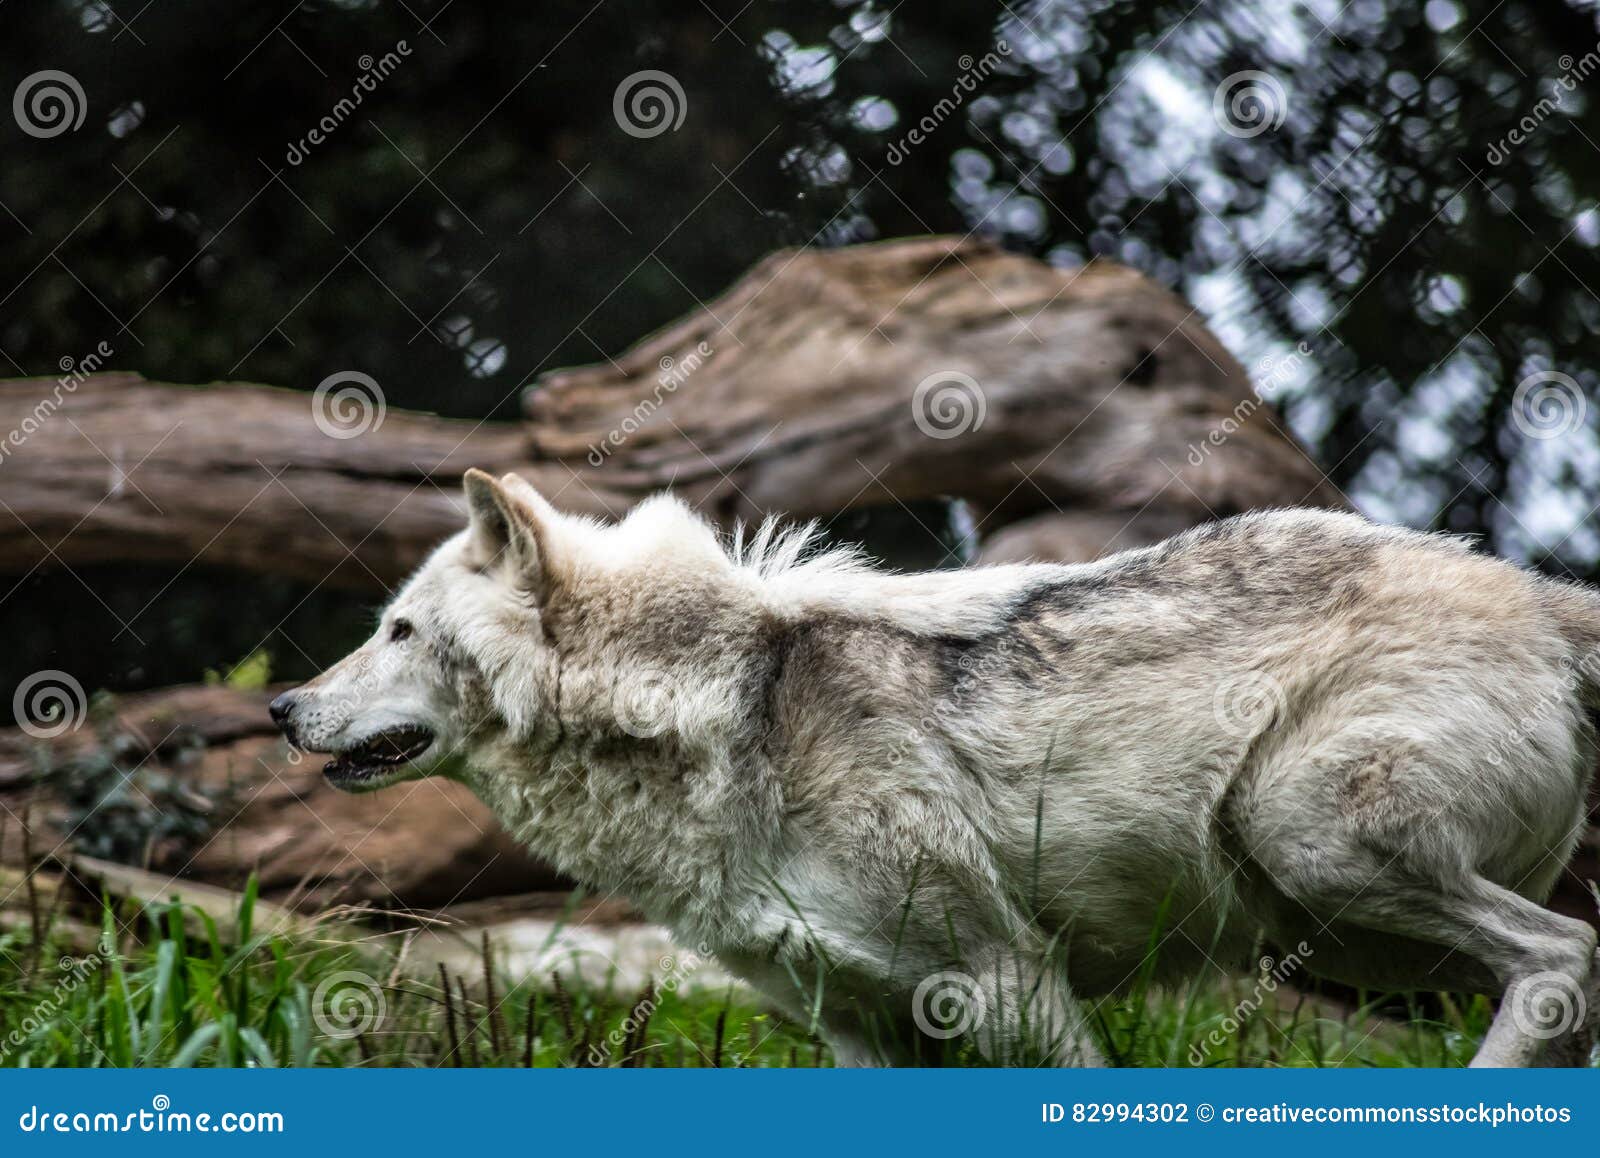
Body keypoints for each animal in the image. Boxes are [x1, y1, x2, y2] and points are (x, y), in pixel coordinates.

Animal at [270, 469, 1600, 1067]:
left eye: (398, 630)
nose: (282, 707)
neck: (710, 710)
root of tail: (1538, 592)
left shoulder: (1010, 985)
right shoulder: (857, 1027)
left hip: (1313, 852)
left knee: (1561, 956)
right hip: (1345, 935)